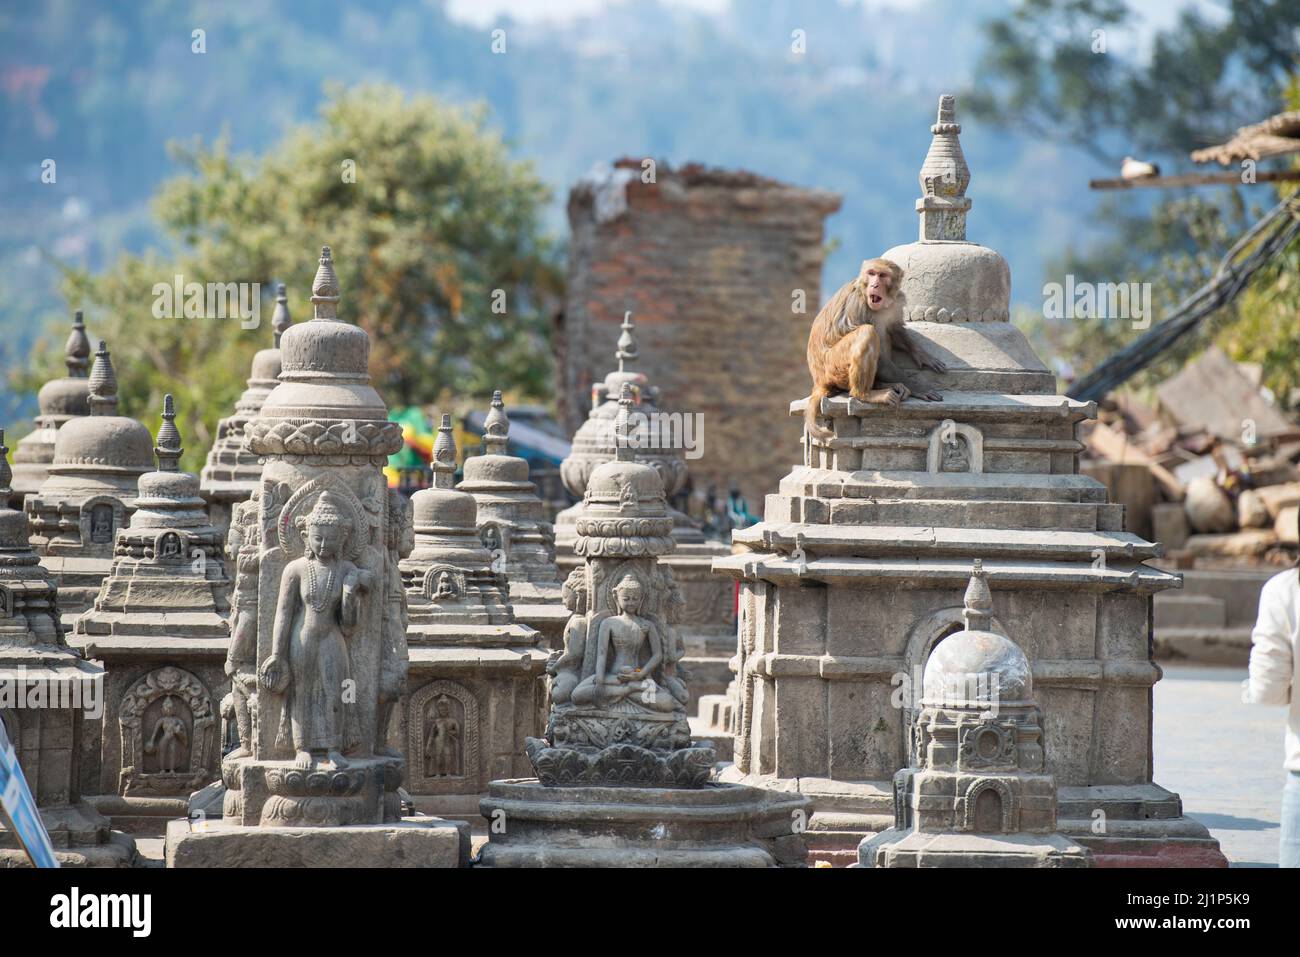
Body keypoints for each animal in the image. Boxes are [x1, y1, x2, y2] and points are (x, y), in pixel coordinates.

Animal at [804, 257, 948, 441]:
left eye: (882, 275)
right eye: (871, 273)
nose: (874, 285)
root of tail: (818, 380)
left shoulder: (896, 302)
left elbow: (894, 328)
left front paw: (922, 355)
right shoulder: (860, 306)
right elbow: (881, 359)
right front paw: (918, 387)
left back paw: (884, 385)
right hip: (833, 367)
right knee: (868, 332)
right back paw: (865, 394)